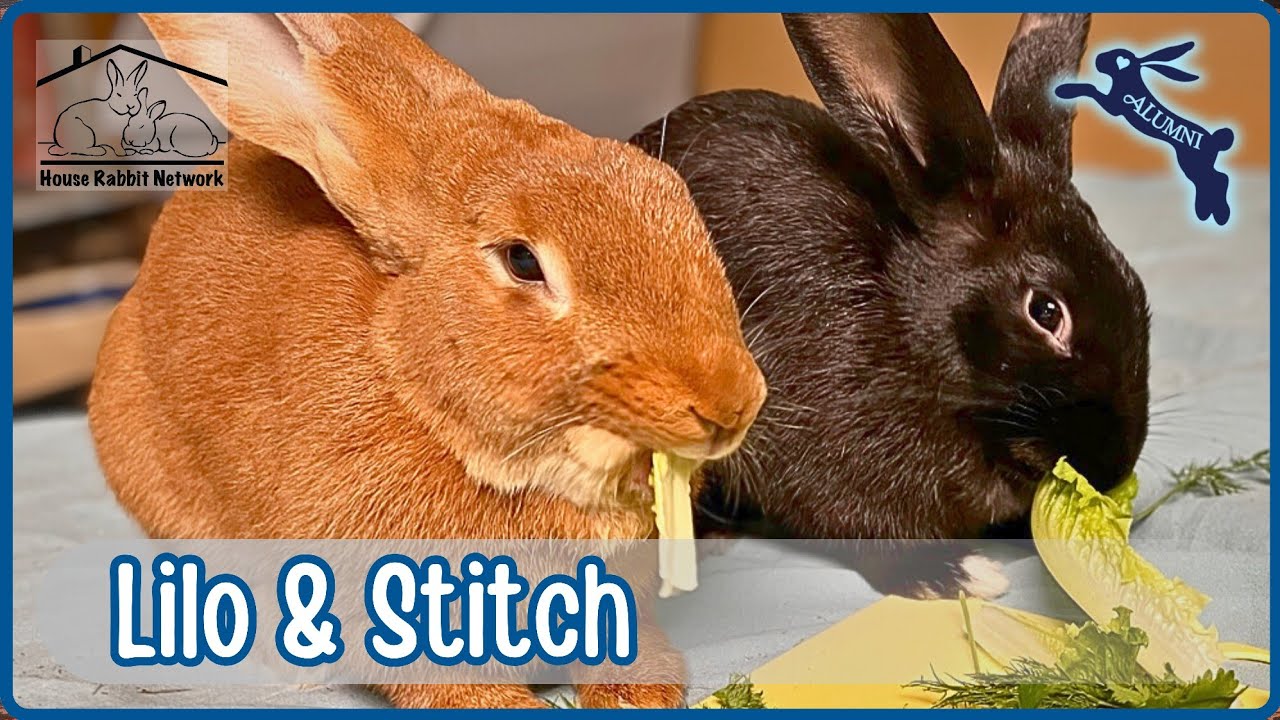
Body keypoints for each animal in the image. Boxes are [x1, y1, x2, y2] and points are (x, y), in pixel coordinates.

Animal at [1055, 42, 1233, 225]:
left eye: (1115, 56)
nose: (1098, 59)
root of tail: (1214, 139)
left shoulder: (1113, 106)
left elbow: (1093, 89)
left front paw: (1067, 89)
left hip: (1190, 162)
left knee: (1218, 178)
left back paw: (1215, 212)